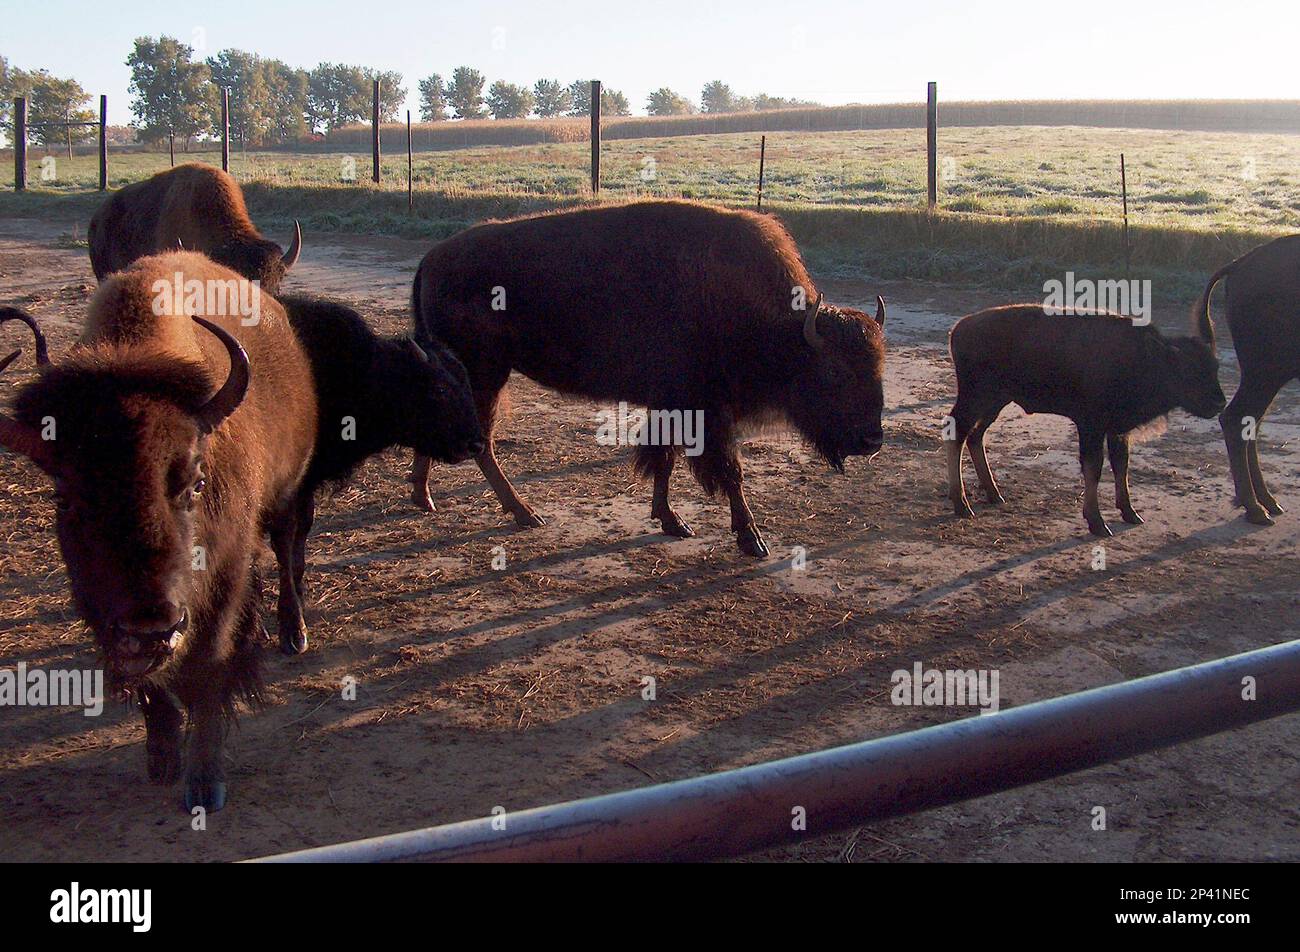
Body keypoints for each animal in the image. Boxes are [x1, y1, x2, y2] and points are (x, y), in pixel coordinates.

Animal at [0, 252, 318, 810]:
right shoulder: (102, 605)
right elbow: (150, 682)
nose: (151, 625)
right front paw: (163, 758)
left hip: (284, 496)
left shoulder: (223, 577)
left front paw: (204, 783)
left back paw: (292, 633)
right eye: (65, 496)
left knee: (285, 555)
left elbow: (209, 666)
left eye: (195, 482)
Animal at [271, 295, 484, 654]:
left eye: (466, 382)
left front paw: (299, 600)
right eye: (439, 389)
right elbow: (283, 545)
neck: (362, 371)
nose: (476, 443)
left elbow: (300, 540)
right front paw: (292, 631)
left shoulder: (307, 485)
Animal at [408, 200, 886, 557]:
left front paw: (672, 520)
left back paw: (424, 498)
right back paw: (524, 513)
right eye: (834, 371)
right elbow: (728, 471)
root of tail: (429, 260)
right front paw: (752, 539)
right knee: (483, 443)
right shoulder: (705, 411)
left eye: (879, 366)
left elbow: (664, 459)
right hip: (485, 375)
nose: (872, 440)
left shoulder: (673, 405)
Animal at [946, 304, 1225, 537]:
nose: (1219, 402)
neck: (1144, 357)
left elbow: (1121, 466)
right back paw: (962, 504)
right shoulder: (1091, 426)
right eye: (1188, 371)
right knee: (957, 433)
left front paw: (1130, 513)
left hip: (995, 402)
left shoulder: (1117, 430)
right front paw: (1097, 523)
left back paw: (994, 494)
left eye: (1215, 367)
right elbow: (1094, 467)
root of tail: (959, 327)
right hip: (975, 399)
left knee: (975, 435)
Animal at [1196, 235, 1300, 526]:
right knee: (1236, 418)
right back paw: (1255, 507)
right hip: (1266, 373)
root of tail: (1240, 263)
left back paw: (1266, 501)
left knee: (1250, 422)